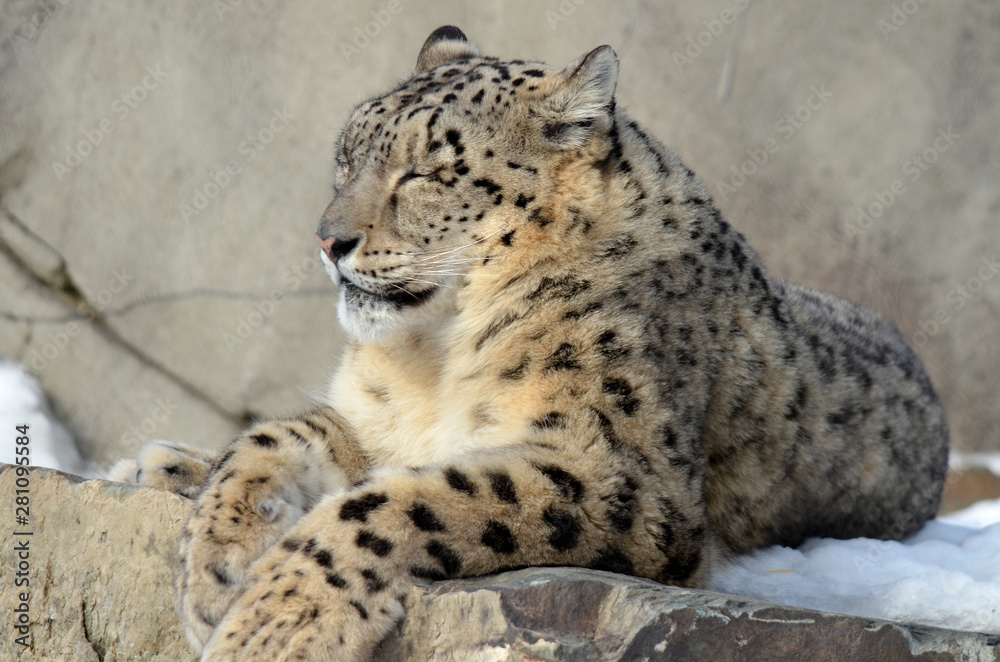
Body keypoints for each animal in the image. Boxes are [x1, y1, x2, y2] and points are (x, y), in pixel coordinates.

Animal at [111, 26, 949, 661]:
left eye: (424, 172)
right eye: (346, 158)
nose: (328, 240)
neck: (433, 356)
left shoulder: (618, 475)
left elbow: (400, 503)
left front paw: (271, 624)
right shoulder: (374, 421)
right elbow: (273, 435)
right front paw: (214, 568)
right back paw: (160, 462)